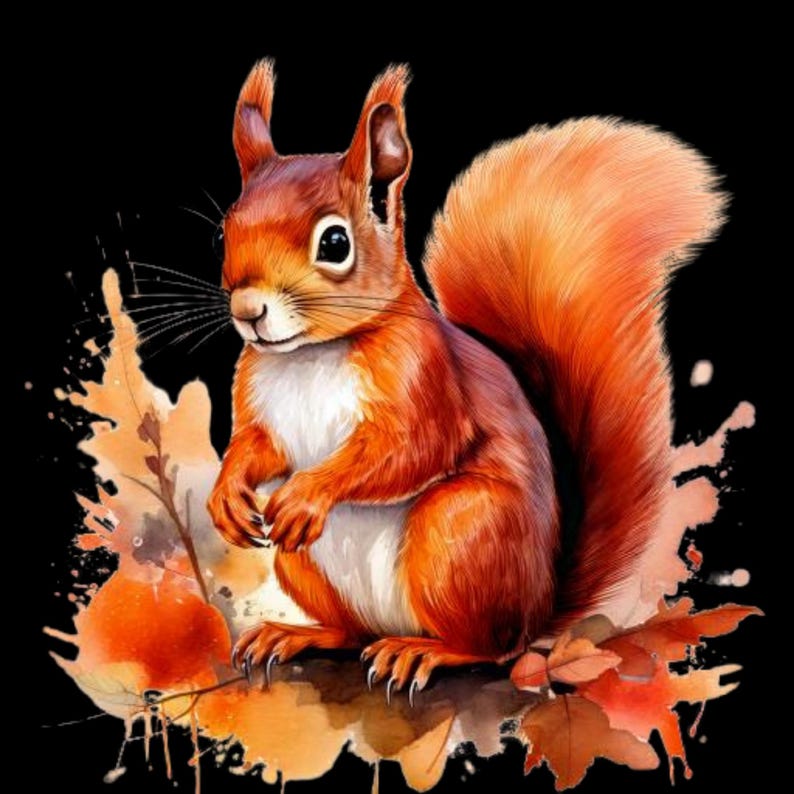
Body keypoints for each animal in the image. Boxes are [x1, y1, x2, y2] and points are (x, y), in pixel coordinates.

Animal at [207, 60, 725, 698]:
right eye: (224, 233)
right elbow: (257, 448)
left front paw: (309, 492)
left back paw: (424, 652)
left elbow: (413, 447)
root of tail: (539, 609)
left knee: (490, 647)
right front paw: (227, 494)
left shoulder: (426, 378)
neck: (309, 355)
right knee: (351, 633)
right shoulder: (259, 400)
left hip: (459, 533)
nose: (247, 310)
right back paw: (297, 634)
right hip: (305, 563)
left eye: (334, 242)